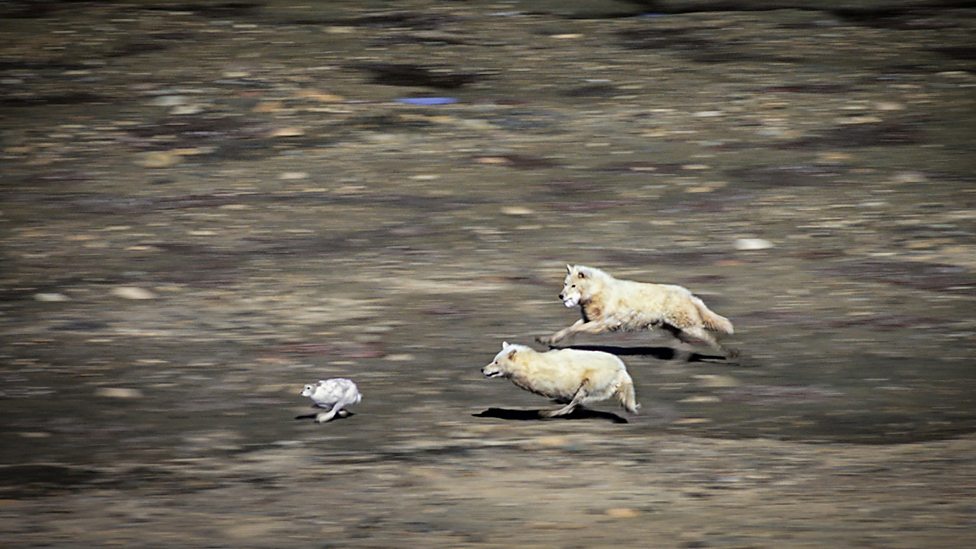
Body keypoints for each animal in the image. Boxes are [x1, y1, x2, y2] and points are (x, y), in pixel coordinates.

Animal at [481, 342, 640, 418]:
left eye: (496, 362)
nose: (482, 369)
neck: (528, 364)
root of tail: (621, 367)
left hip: (589, 384)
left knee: (574, 404)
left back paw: (549, 413)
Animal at [537, 264, 735, 357]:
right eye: (565, 284)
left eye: (573, 285)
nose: (560, 296)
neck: (597, 292)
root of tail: (690, 295)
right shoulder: (589, 320)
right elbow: (567, 329)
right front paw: (548, 340)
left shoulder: (602, 323)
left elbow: (574, 329)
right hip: (675, 328)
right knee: (687, 343)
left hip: (689, 327)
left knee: (710, 337)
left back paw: (730, 353)